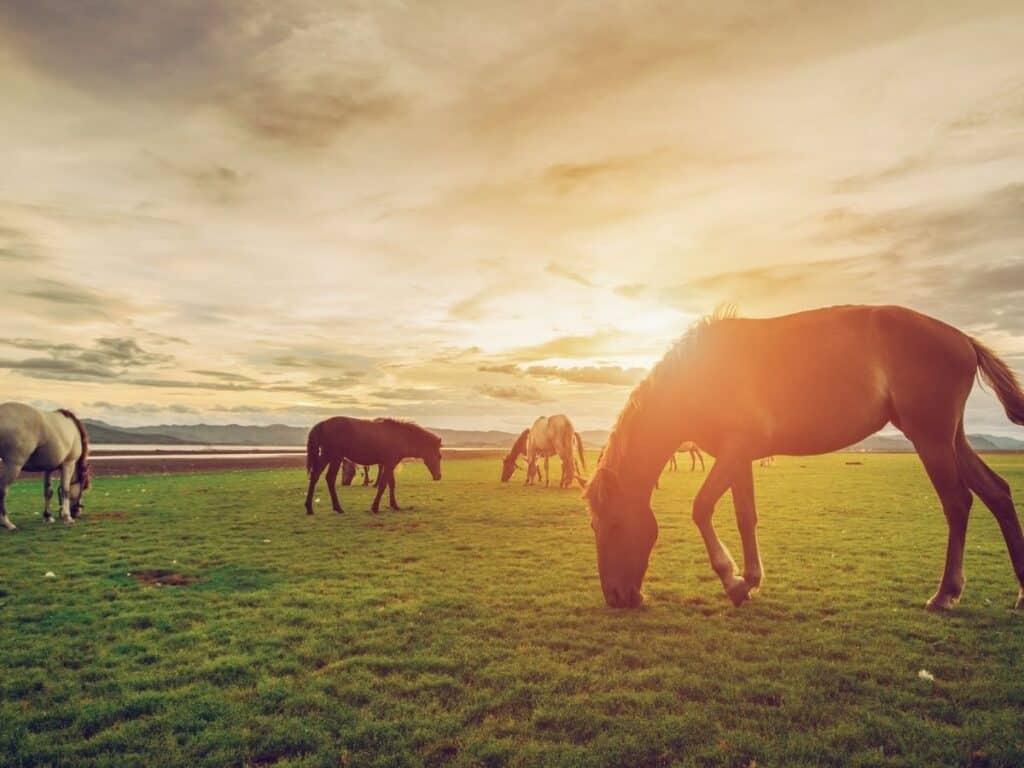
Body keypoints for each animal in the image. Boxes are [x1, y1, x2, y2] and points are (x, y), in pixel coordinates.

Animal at [305, 416, 442, 514]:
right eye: (439, 456)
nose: (439, 476)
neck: (399, 436)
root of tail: (323, 424)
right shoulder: (390, 463)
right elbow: (382, 485)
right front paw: (375, 507)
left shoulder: (389, 464)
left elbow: (391, 484)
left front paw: (394, 505)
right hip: (335, 457)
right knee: (329, 478)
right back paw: (337, 508)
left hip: (327, 457)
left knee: (315, 476)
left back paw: (309, 508)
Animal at [584, 305, 1024, 612]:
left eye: (613, 524)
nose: (615, 596)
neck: (697, 375)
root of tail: (963, 339)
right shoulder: (739, 454)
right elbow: (745, 516)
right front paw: (749, 579)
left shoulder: (736, 449)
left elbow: (702, 507)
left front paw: (732, 579)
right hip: (952, 439)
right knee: (998, 493)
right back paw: (1020, 591)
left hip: (931, 437)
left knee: (958, 503)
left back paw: (946, 593)